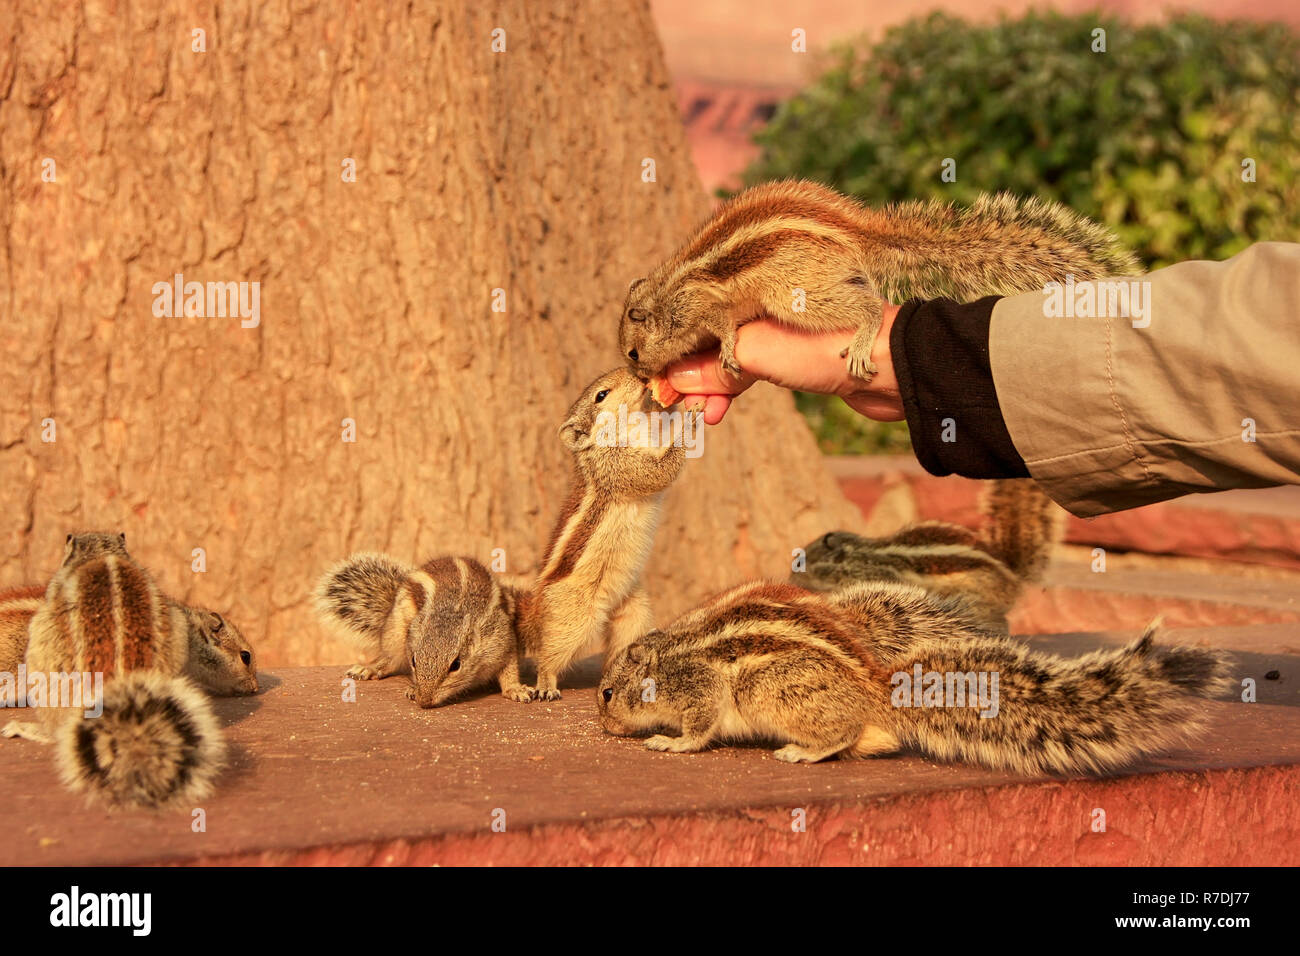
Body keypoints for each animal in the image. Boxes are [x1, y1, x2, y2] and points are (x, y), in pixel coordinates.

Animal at [314, 552, 529, 706]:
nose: (424, 701)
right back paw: (371, 668)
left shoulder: (501, 641)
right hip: (396, 630)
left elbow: (509, 668)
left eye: (456, 665)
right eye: (413, 661)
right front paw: (412, 688)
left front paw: (515, 689)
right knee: (390, 658)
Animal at [515, 367, 687, 700]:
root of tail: (537, 608)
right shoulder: (620, 466)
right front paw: (693, 415)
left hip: (634, 610)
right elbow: (660, 471)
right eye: (601, 395)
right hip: (574, 620)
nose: (637, 374)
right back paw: (545, 685)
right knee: (548, 654)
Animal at [598, 579, 1229, 774]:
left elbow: (699, 726)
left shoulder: (698, 687)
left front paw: (669, 742)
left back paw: (802, 751)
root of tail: (878, 690)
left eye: (606, 694)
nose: (603, 726)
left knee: (837, 735)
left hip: (768, 690)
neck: (666, 657)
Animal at [618, 179, 1140, 385]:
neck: (664, 298)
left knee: (866, 306)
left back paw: (864, 337)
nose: (642, 378)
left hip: (795, 293)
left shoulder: (698, 303)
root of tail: (858, 233)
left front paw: (725, 350)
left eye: (632, 353)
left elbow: (723, 323)